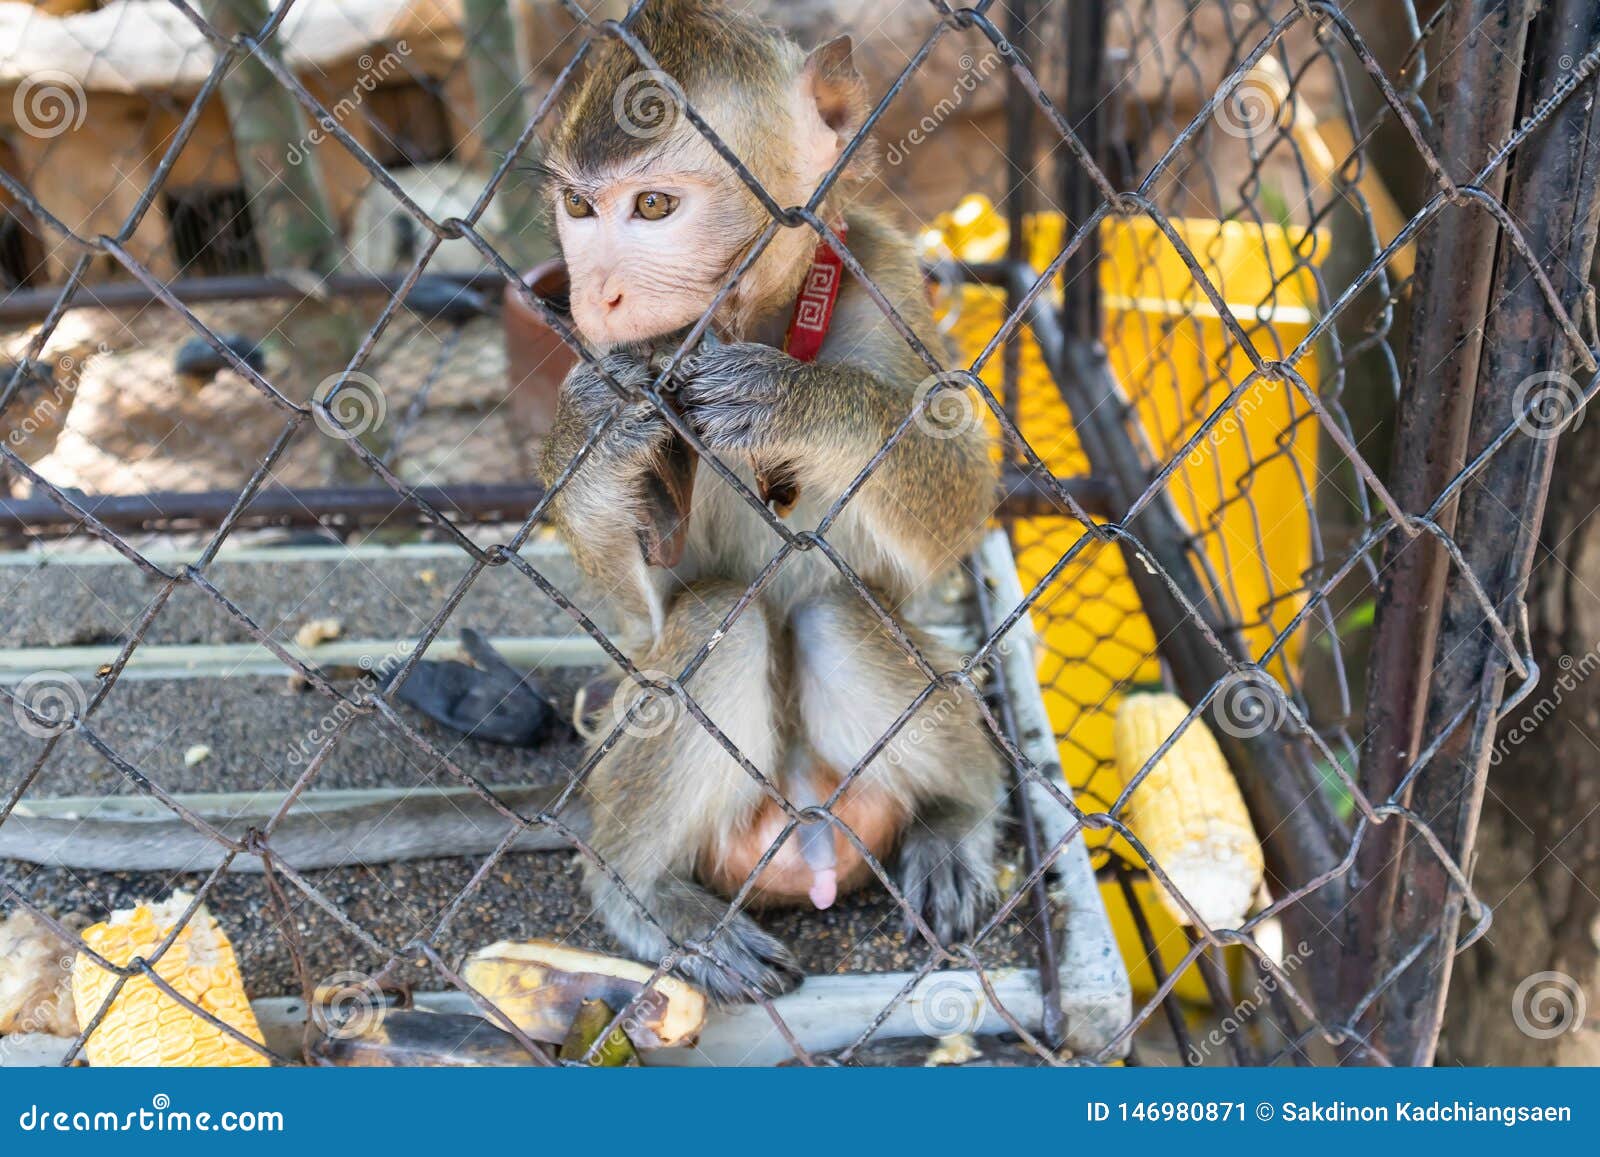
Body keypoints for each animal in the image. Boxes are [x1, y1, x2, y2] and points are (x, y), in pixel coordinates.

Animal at [537, 0, 1004, 1002]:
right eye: (580, 208)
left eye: (655, 206)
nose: (598, 294)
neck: (768, 320)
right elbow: (641, 606)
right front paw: (597, 427)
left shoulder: (884, 282)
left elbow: (951, 519)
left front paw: (799, 402)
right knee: (713, 620)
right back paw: (642, 892)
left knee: (834, 610)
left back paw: (960, 815)